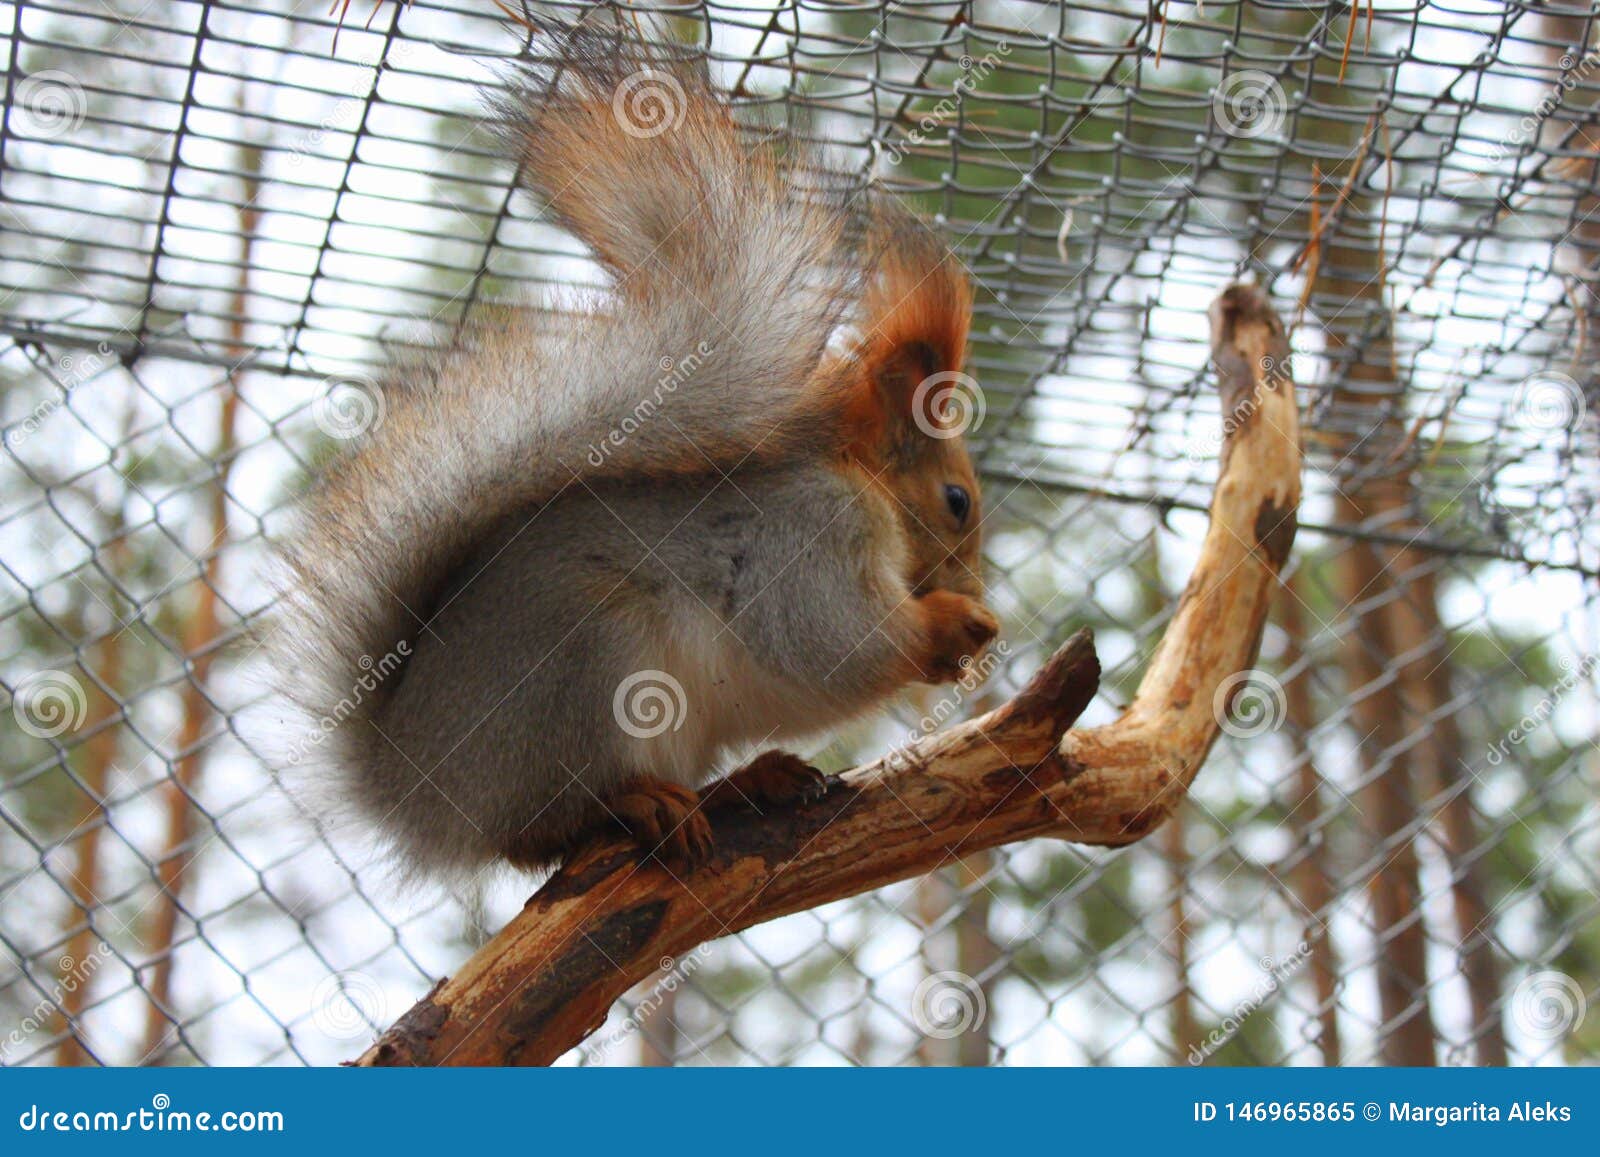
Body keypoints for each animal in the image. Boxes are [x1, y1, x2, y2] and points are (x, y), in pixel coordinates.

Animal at [272, 12, 1000, 880]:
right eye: (956, 501)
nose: (978, 590)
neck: (860, 476)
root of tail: (416, 785)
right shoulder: (808, 534)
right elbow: (827, 639)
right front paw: (952, 626)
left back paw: (744, 782)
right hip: (590, 660)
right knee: (543, 828)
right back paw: (633, 803)